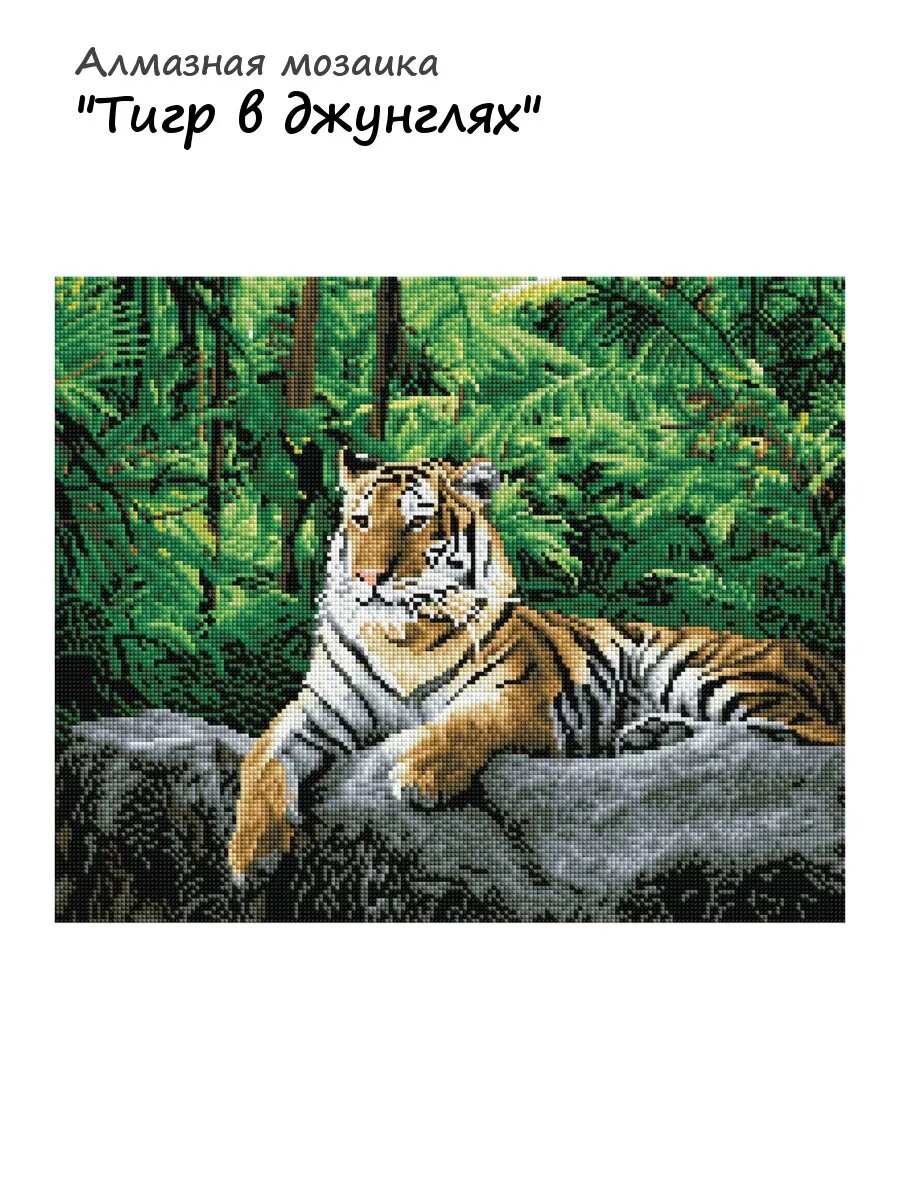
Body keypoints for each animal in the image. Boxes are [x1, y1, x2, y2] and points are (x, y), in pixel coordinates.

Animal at [227, 450, 844, 879]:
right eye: (360, 520)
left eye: (415, 522)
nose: (368, 578)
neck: (399, 637)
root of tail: (821, 654)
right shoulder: (315, 709)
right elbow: (263, 759)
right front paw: (249, 855)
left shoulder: (522, 700)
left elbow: (463, 723)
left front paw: (419, 777)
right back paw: (648, 735)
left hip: (705, 669)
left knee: (806, 732)